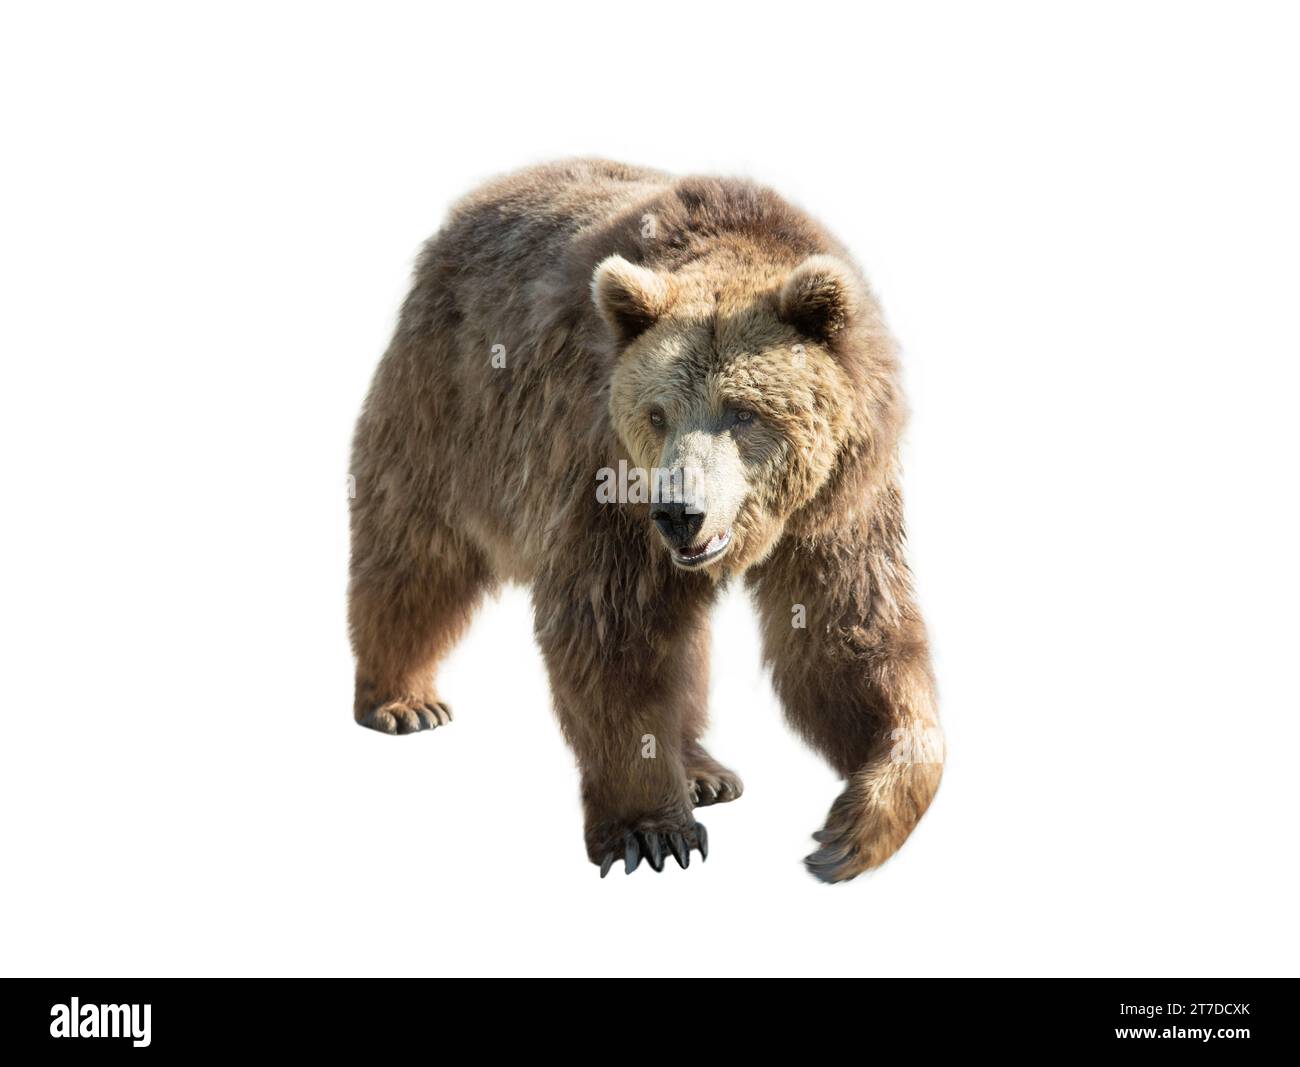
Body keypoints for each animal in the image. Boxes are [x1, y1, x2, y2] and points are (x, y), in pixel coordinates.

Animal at [348, 158, 943, 882]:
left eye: (743, 411)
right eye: (657, 412)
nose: (680, 511)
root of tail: (476, 200)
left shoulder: (839, 502)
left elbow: (851, 635)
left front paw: (853, 828)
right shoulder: (603, 478)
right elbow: (615, 634)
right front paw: (653, 831)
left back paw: (706, 770)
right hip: (450, 408)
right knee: (417, 550)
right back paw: (404, 700)